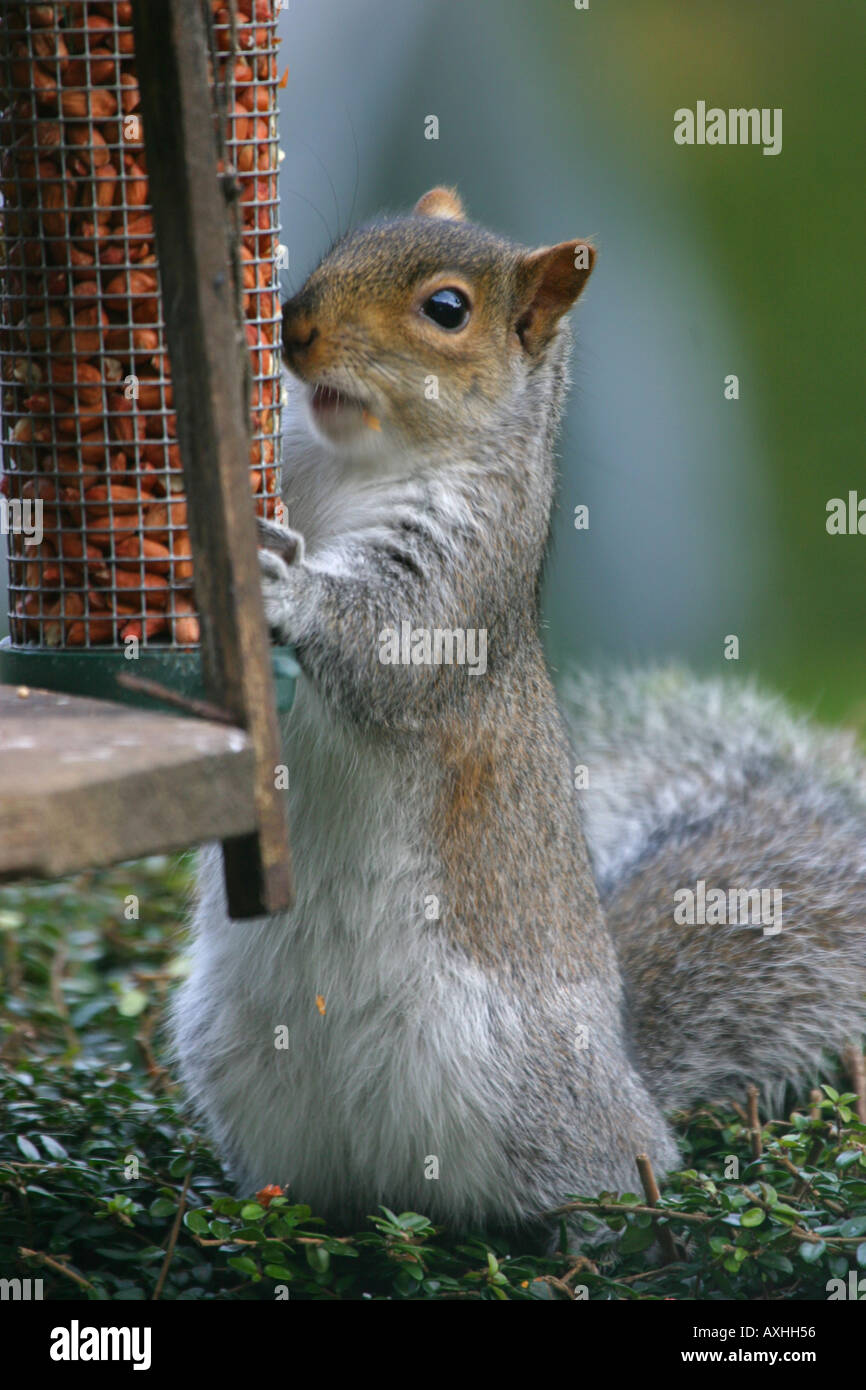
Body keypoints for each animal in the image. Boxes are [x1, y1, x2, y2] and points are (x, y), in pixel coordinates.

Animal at [172, 187, 866, 1236]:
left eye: (446, 310)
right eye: (345, 244)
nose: (293, 327)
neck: (352, 462)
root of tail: (630, 1077)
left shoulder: (465, 574)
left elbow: (391, 644)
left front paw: (284, 589)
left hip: (524, 1089)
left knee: (620, 1171)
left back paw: (602, 1220)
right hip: (238, 1064)